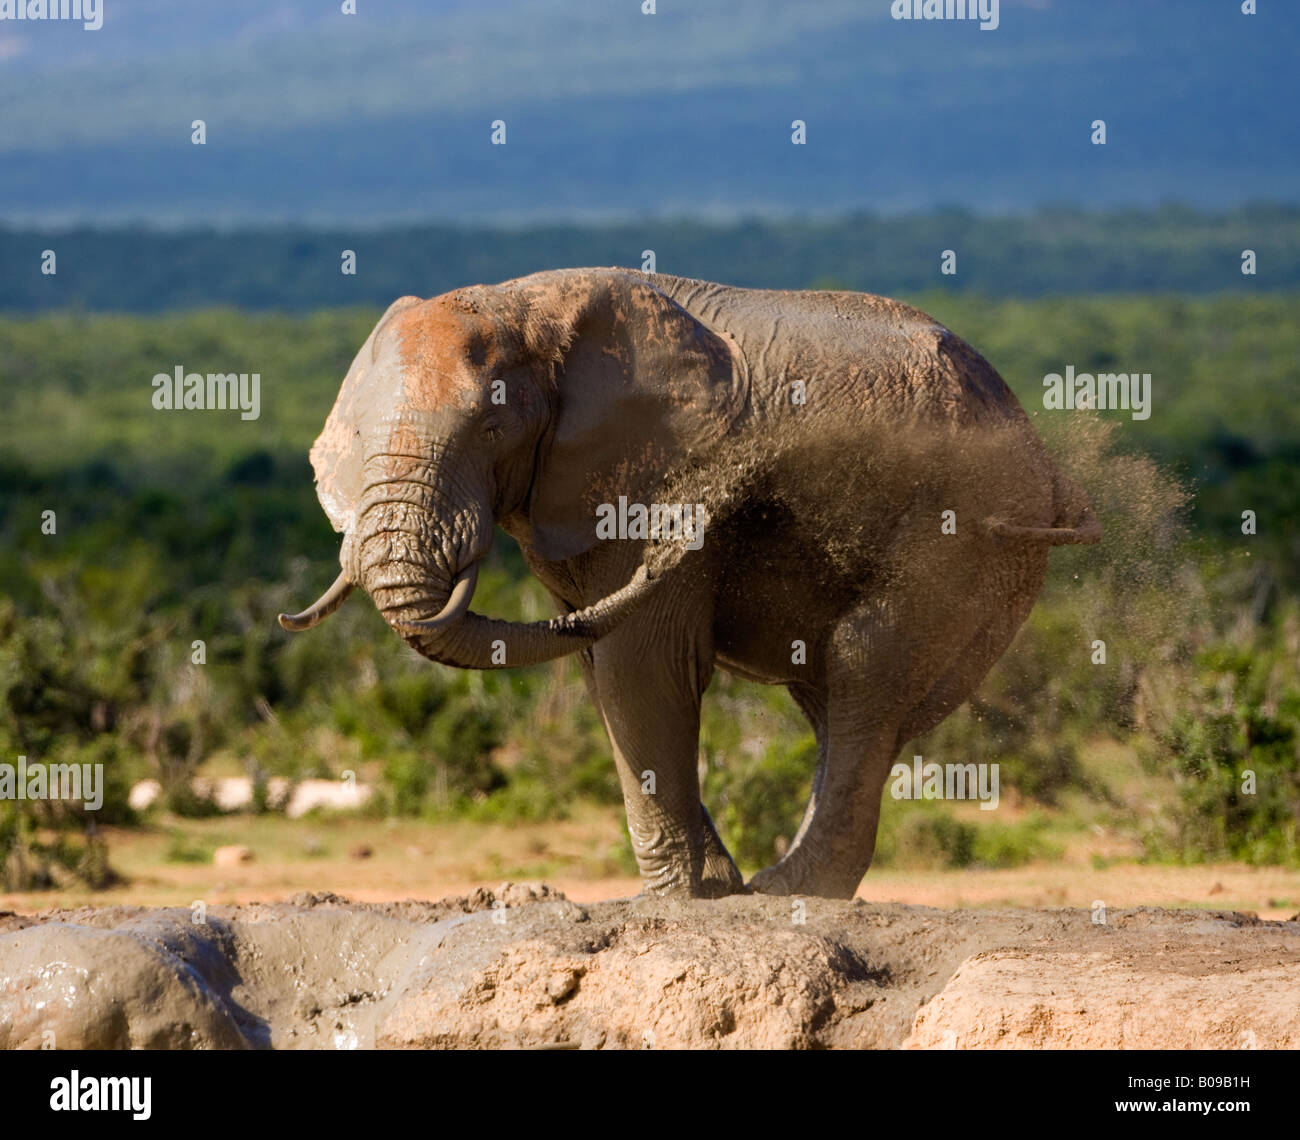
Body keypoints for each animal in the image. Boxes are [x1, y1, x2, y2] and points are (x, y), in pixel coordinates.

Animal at [279, 268, 1099, 899]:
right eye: (358, 440)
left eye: (491, 430)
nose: (727, 504)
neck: (523, 303)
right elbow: (602, 665)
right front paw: (706, 890)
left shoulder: (648, 475)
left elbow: (643, 664)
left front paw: (692, 897)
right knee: (836, 700)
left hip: (960, 537)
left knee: (866, 668)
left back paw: (784, 894)